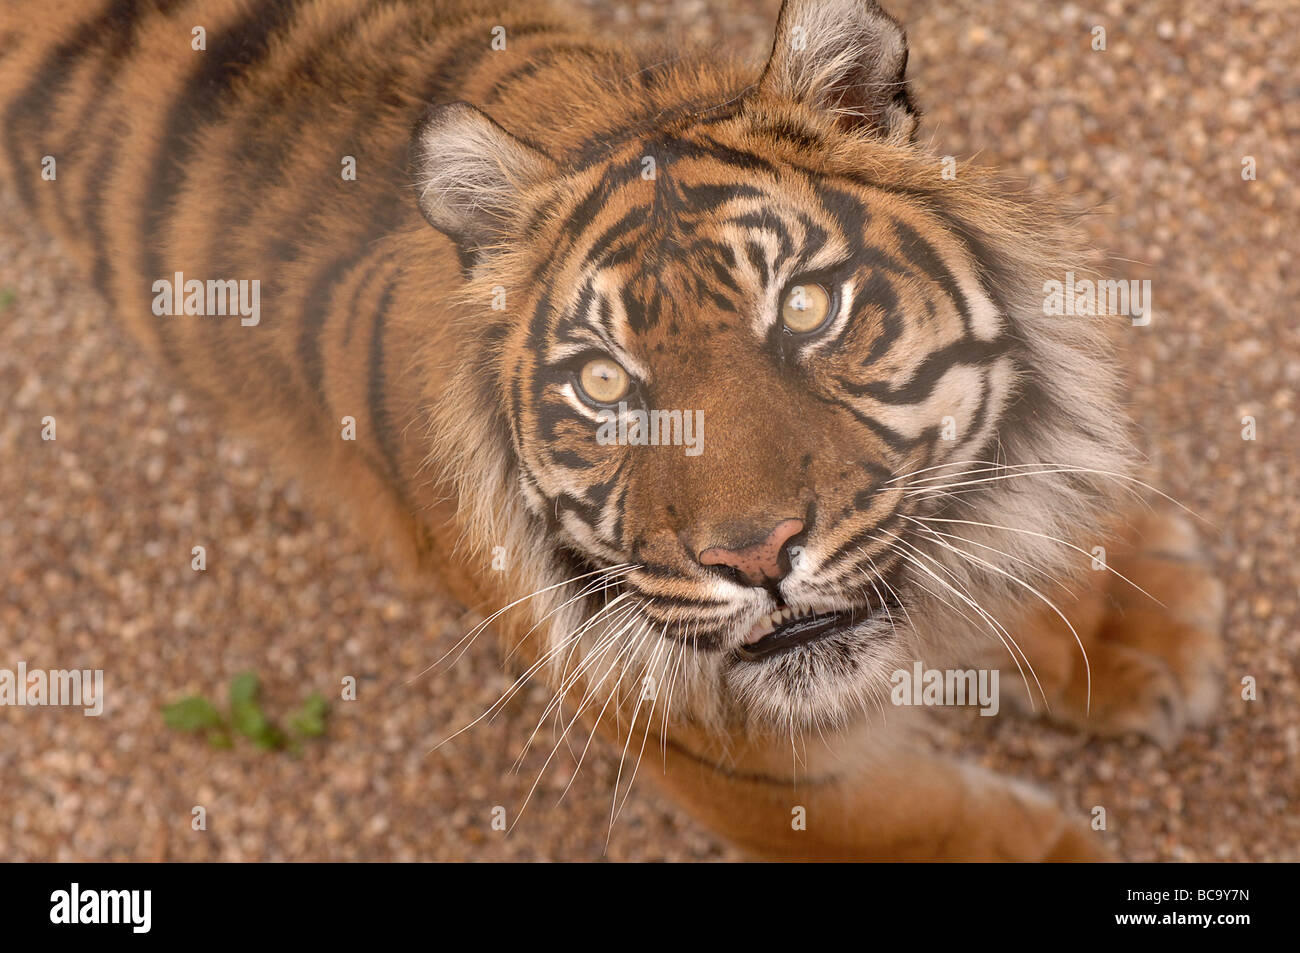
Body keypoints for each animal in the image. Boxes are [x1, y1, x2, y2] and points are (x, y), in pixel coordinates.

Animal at [0, 0, 1226, 861]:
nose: (756, 557)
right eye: (601, 382)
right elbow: (944, 828)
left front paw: (1140, 627)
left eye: (805, 308)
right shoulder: (754, 770)